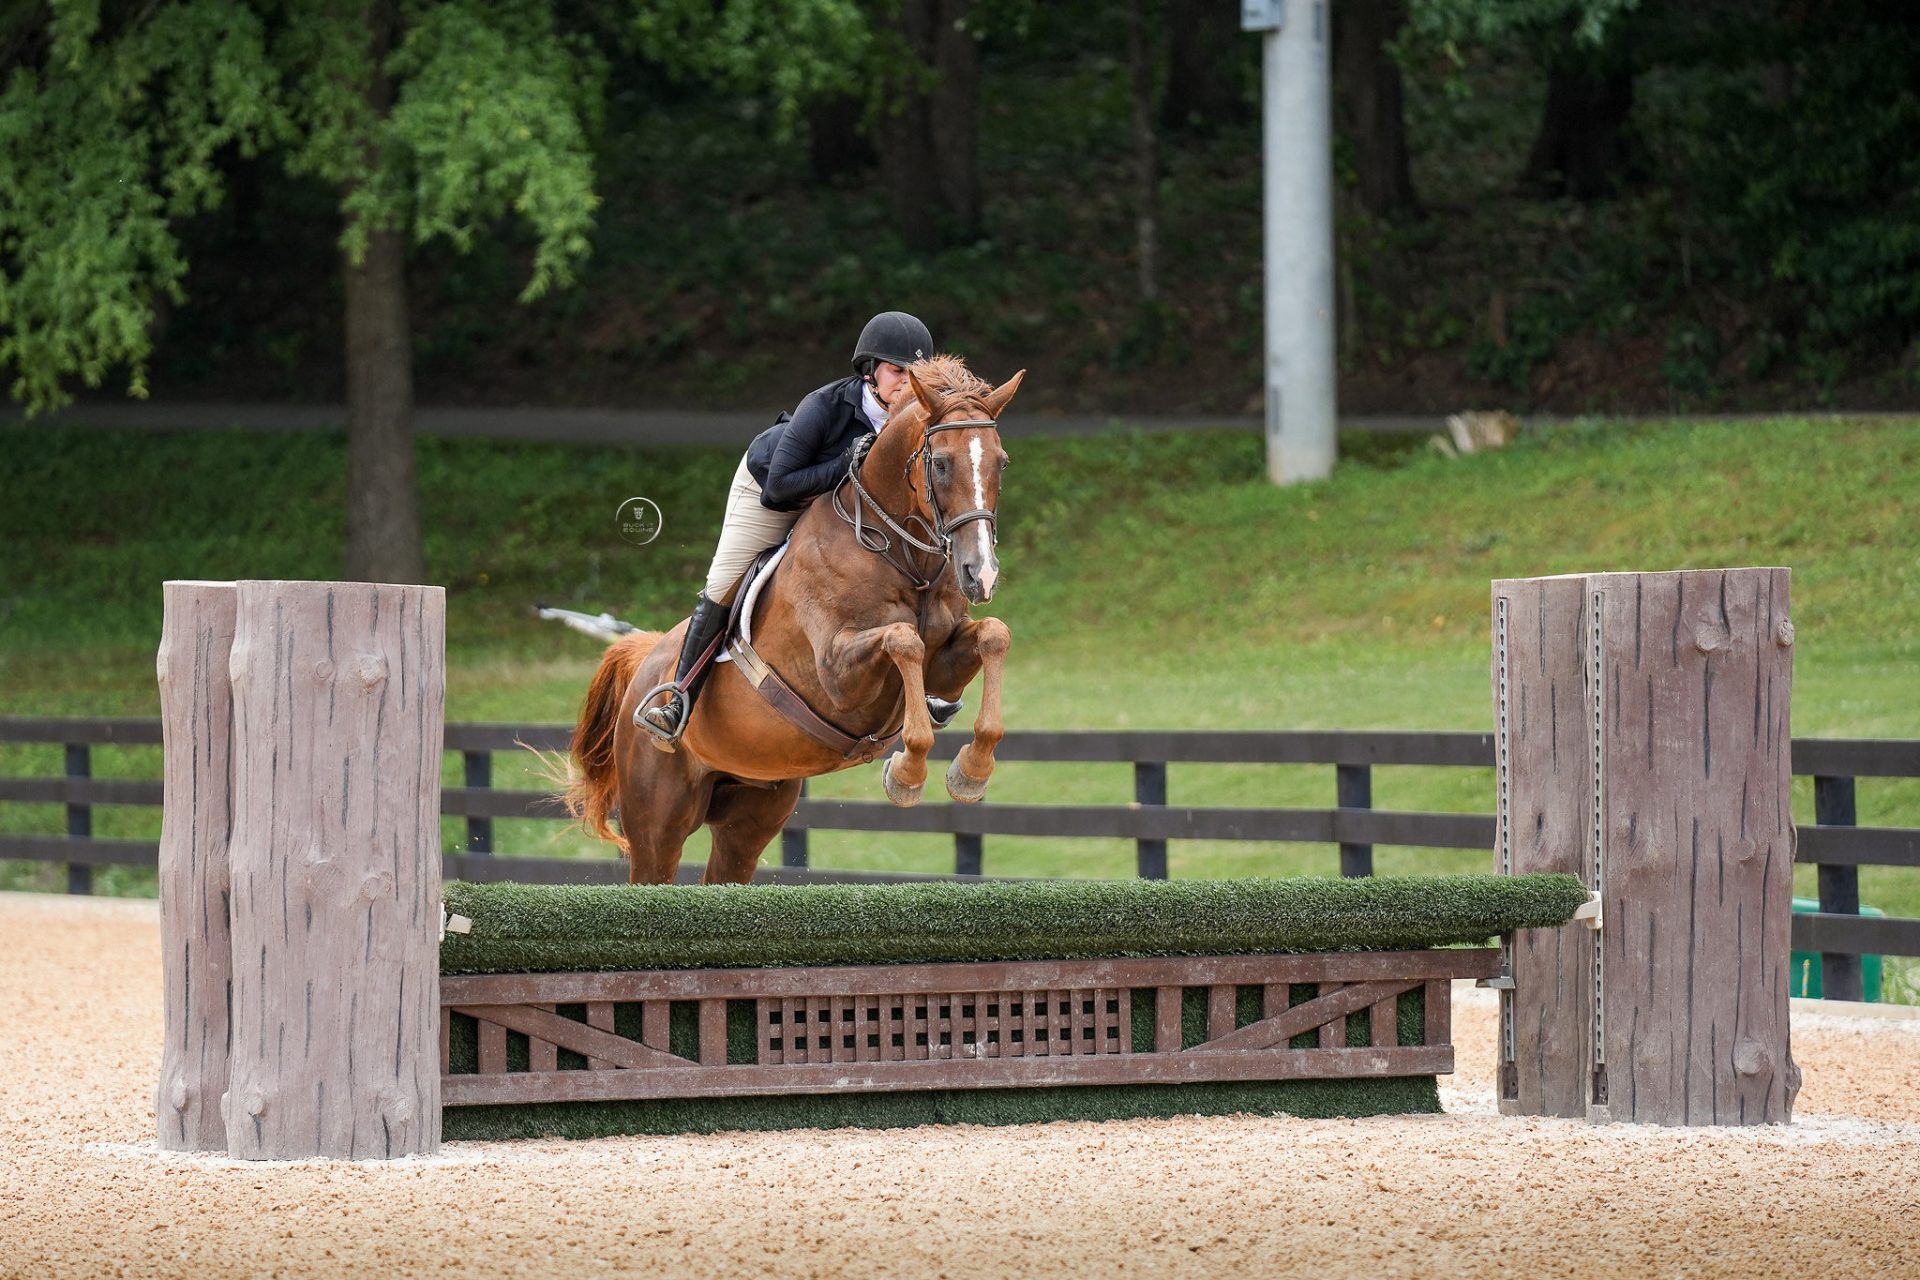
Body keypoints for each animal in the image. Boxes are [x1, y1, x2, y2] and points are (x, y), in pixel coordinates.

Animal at [563, 355, 1026, 884]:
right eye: (942, 463)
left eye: (1001, 462)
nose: (981, 573)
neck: (899, 552)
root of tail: (645, 661)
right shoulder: (837, 677)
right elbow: (903, 639)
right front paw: (906, 775)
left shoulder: (943, 664)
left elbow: (993, 635)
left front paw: (970, 772)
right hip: (656, 820)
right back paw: (668, 713)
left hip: (752, 809)